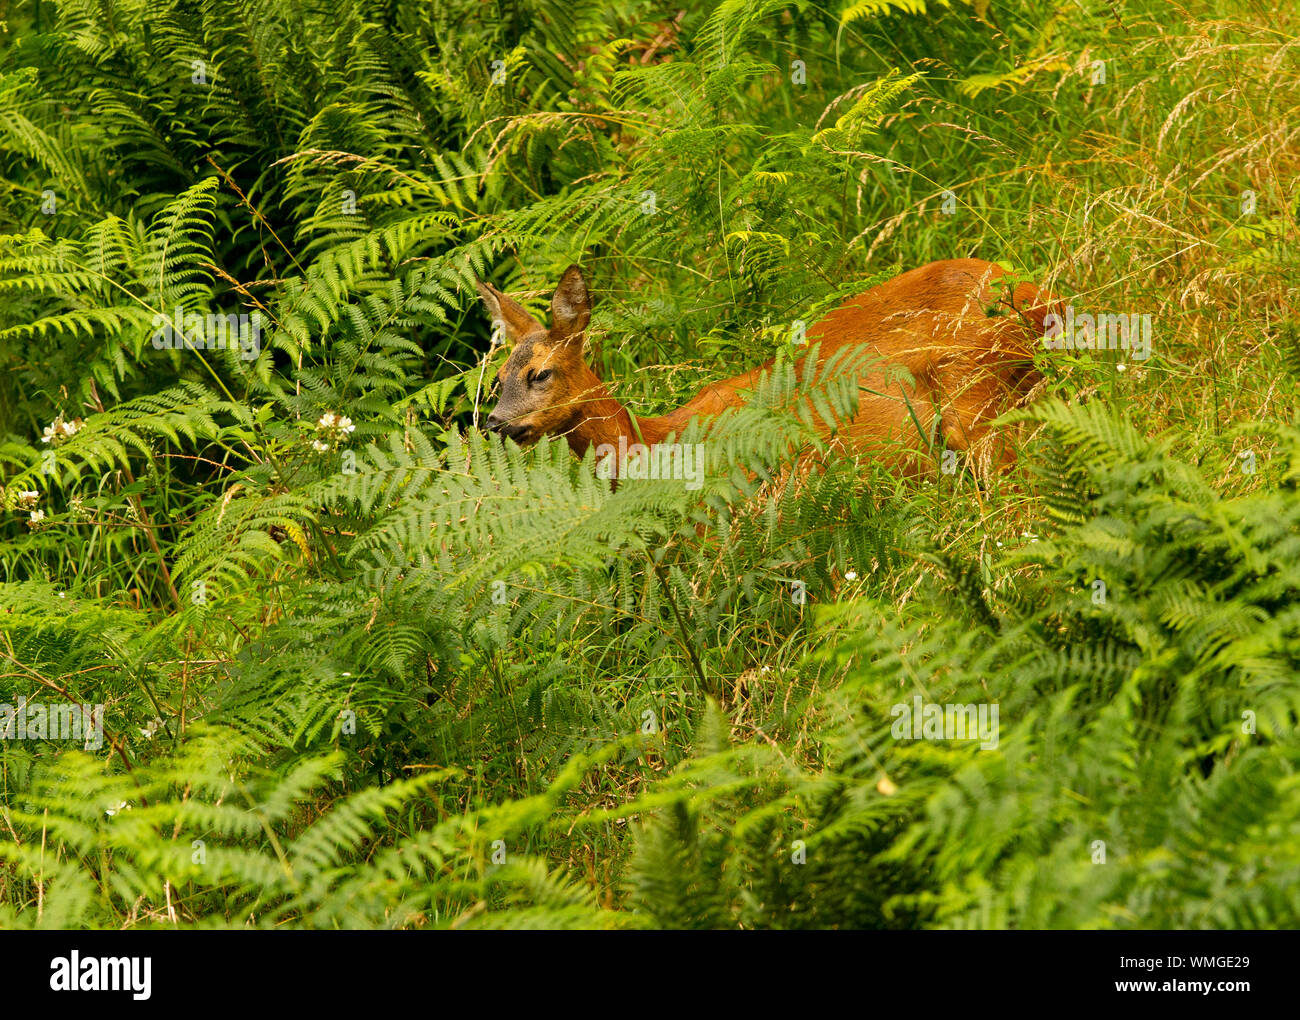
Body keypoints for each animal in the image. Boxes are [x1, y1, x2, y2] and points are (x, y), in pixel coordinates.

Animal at [475, 259, 1052, 480]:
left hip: (975, 399)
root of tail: (1042, 297)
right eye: (497, 382)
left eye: (540, 373)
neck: (661, 443)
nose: (496, 424)